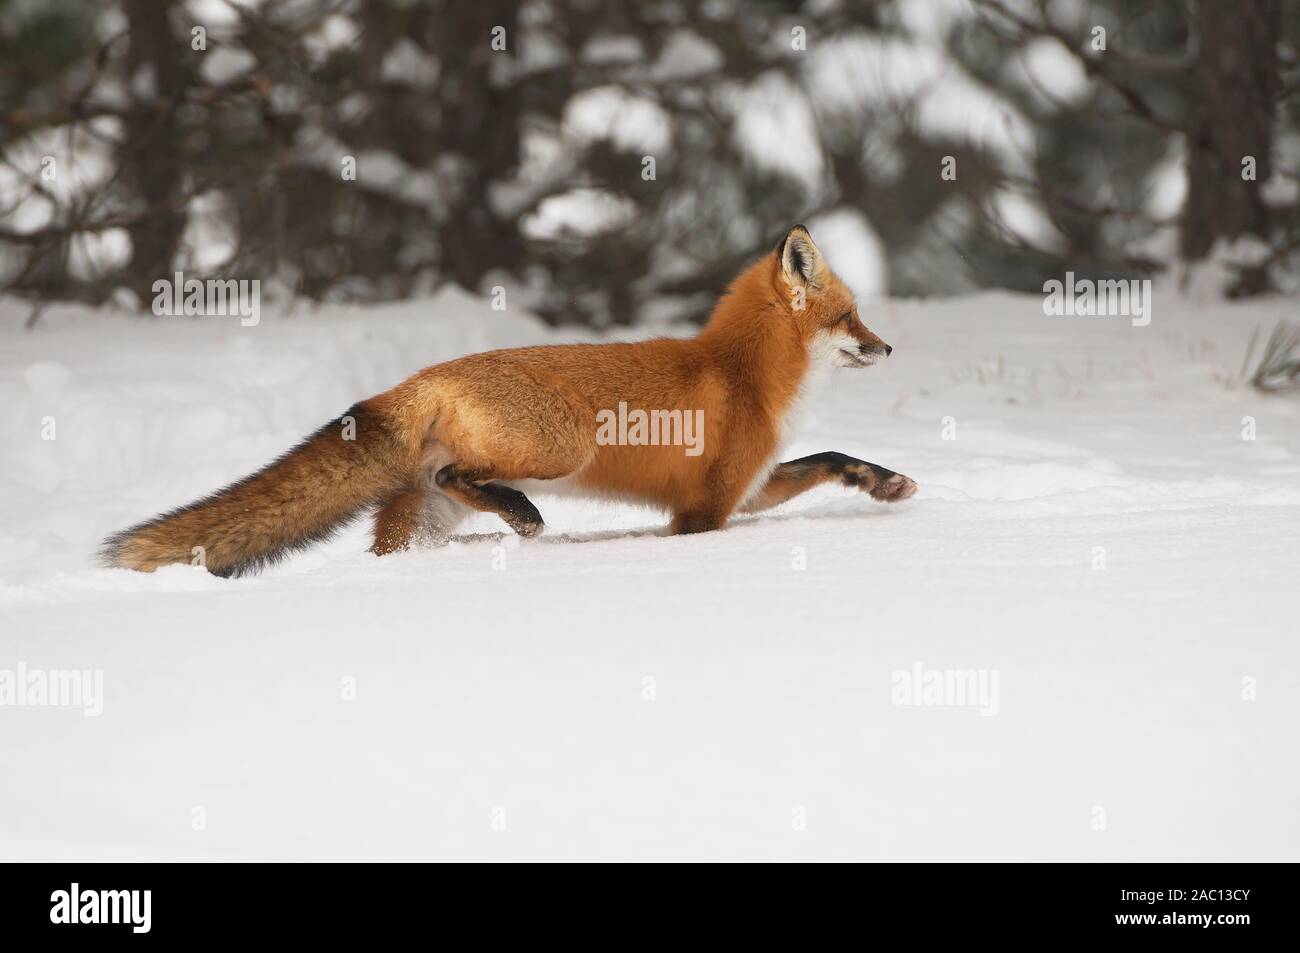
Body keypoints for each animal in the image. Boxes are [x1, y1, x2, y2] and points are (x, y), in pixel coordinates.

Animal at [102, 225, 917, 576]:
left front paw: (884, 482)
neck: (742, 371)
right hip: (562, 446)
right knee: (468, 477)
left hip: (426, 516)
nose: (888, 349)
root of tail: (421, 377)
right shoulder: (706, 509)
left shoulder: (749, 488)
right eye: (852, 317)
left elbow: (831, 456)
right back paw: (524, 518)